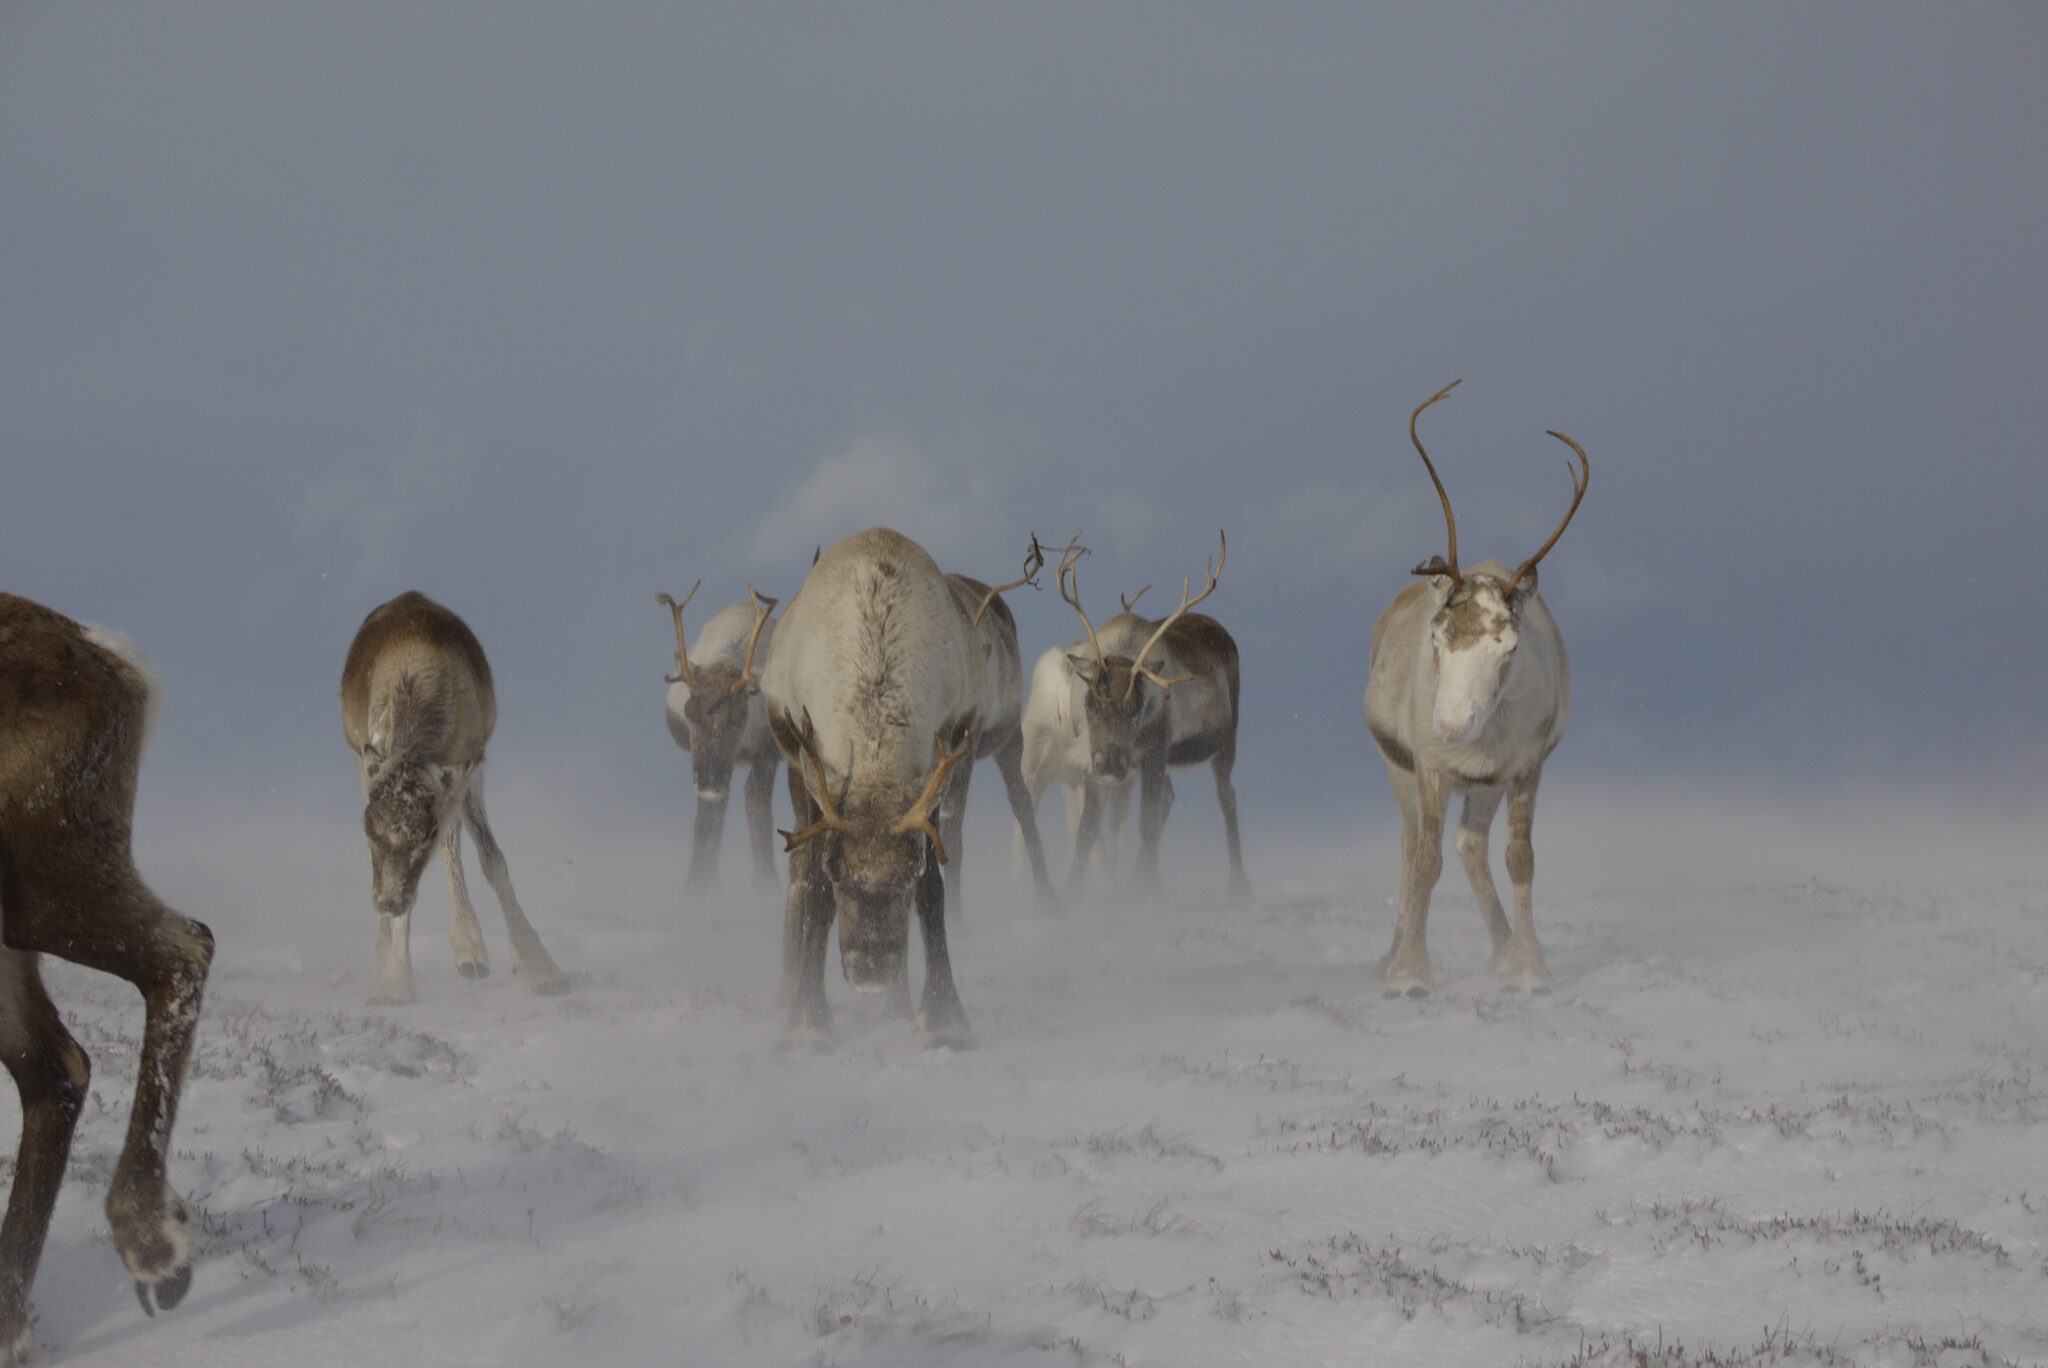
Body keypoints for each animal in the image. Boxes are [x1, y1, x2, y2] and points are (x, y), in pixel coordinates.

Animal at [340, 591, 567, 1004]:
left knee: (455, 841)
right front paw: (395, 981)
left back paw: (474, 952)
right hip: (358, 760)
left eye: (424, 835)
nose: (389, 902)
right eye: (368, 828)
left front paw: (542, 969)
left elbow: (493, 861)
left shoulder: (470, 768)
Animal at [657, 584, 780, 896]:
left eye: (739, 717)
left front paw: (767, 888)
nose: (710, 783)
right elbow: (706, 818)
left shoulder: (767, 754)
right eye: (689, 712)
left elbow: (758, 809)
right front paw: (697, 886)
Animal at [759, 527, 981, 1048]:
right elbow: (814, 890)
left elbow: (935, 894)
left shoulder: (945, 749)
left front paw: (942, 1018)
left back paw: (899, 1003)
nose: (872, 974)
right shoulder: (810, 763)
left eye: (907, 877)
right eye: (839, 875)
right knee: (796, 872)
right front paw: (808, 1020)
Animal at [1053, 533, 1250, 902]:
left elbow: (1145, 821)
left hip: (1226, 739)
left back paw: (1239, 885)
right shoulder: (1093, 758)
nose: (1110, 765)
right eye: (1090, 704)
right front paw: (1069, 892)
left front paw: (1149, 893)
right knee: (1168, 800)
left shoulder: (1156, 751)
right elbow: (1088, 829)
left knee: (1226, 796)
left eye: (1138, 707)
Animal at [1364, 379, 1589, 997]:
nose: (1454, 724)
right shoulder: (1430, 765)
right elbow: (1424, 862)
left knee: (1469, 841)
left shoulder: (1524, 765)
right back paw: (1390, 954)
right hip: (1399, 768)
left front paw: (1528, 967)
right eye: (1439, 635)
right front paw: (1409, 975)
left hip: (1485, 785)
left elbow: (1520, 858)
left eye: (1507, 646)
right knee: (1411, 843)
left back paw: (1502, 947)